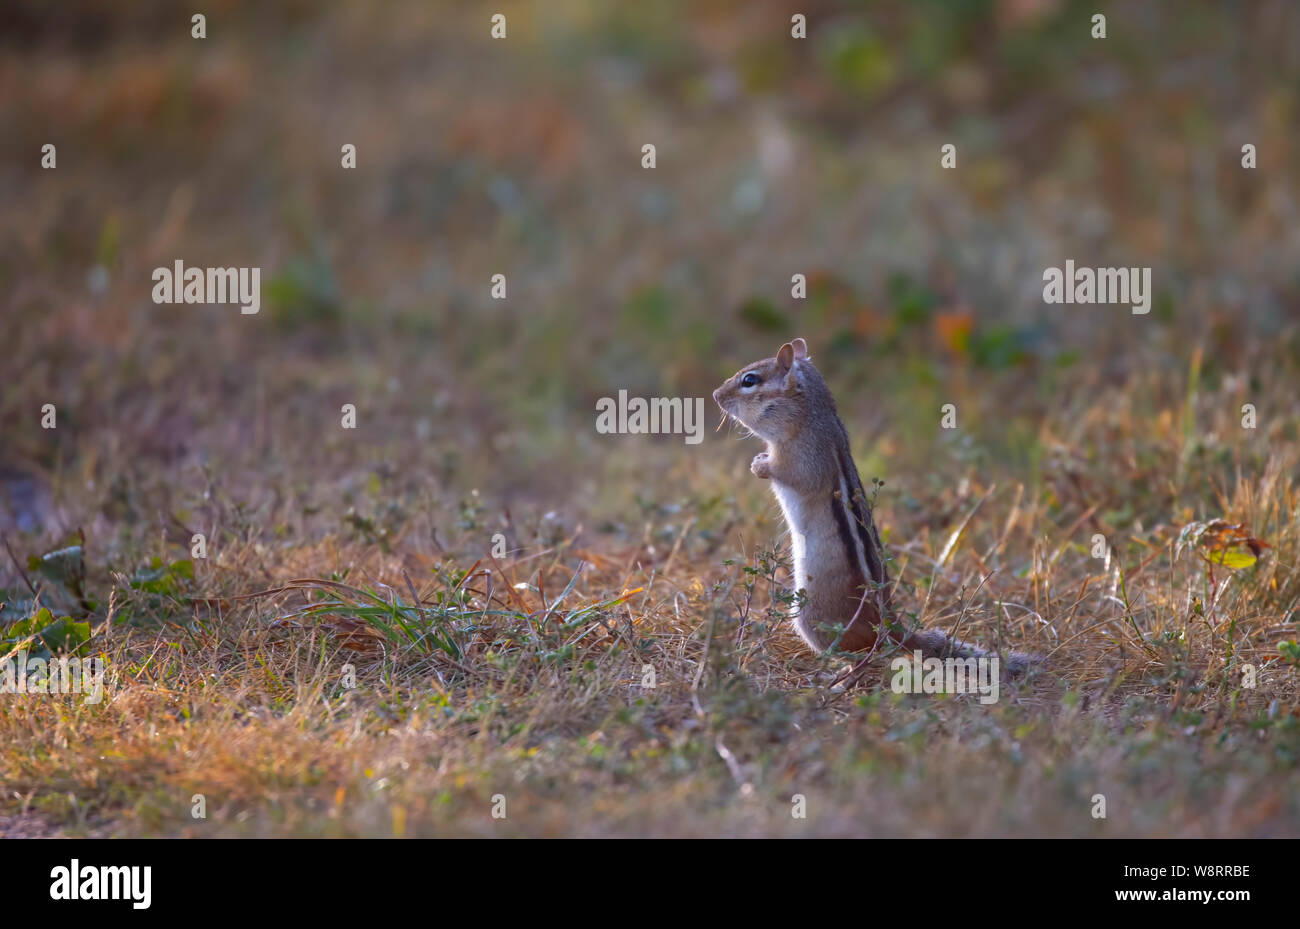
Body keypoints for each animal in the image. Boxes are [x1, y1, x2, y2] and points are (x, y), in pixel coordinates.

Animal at [713, 337, 1036, 676]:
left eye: (750, 380)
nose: (715, 396)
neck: (812, 416)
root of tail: (889, 625)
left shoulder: (803, 458)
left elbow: (789, 474)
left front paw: (760, 466)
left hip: (810, 617)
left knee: (864, 654)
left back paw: (840, 675)